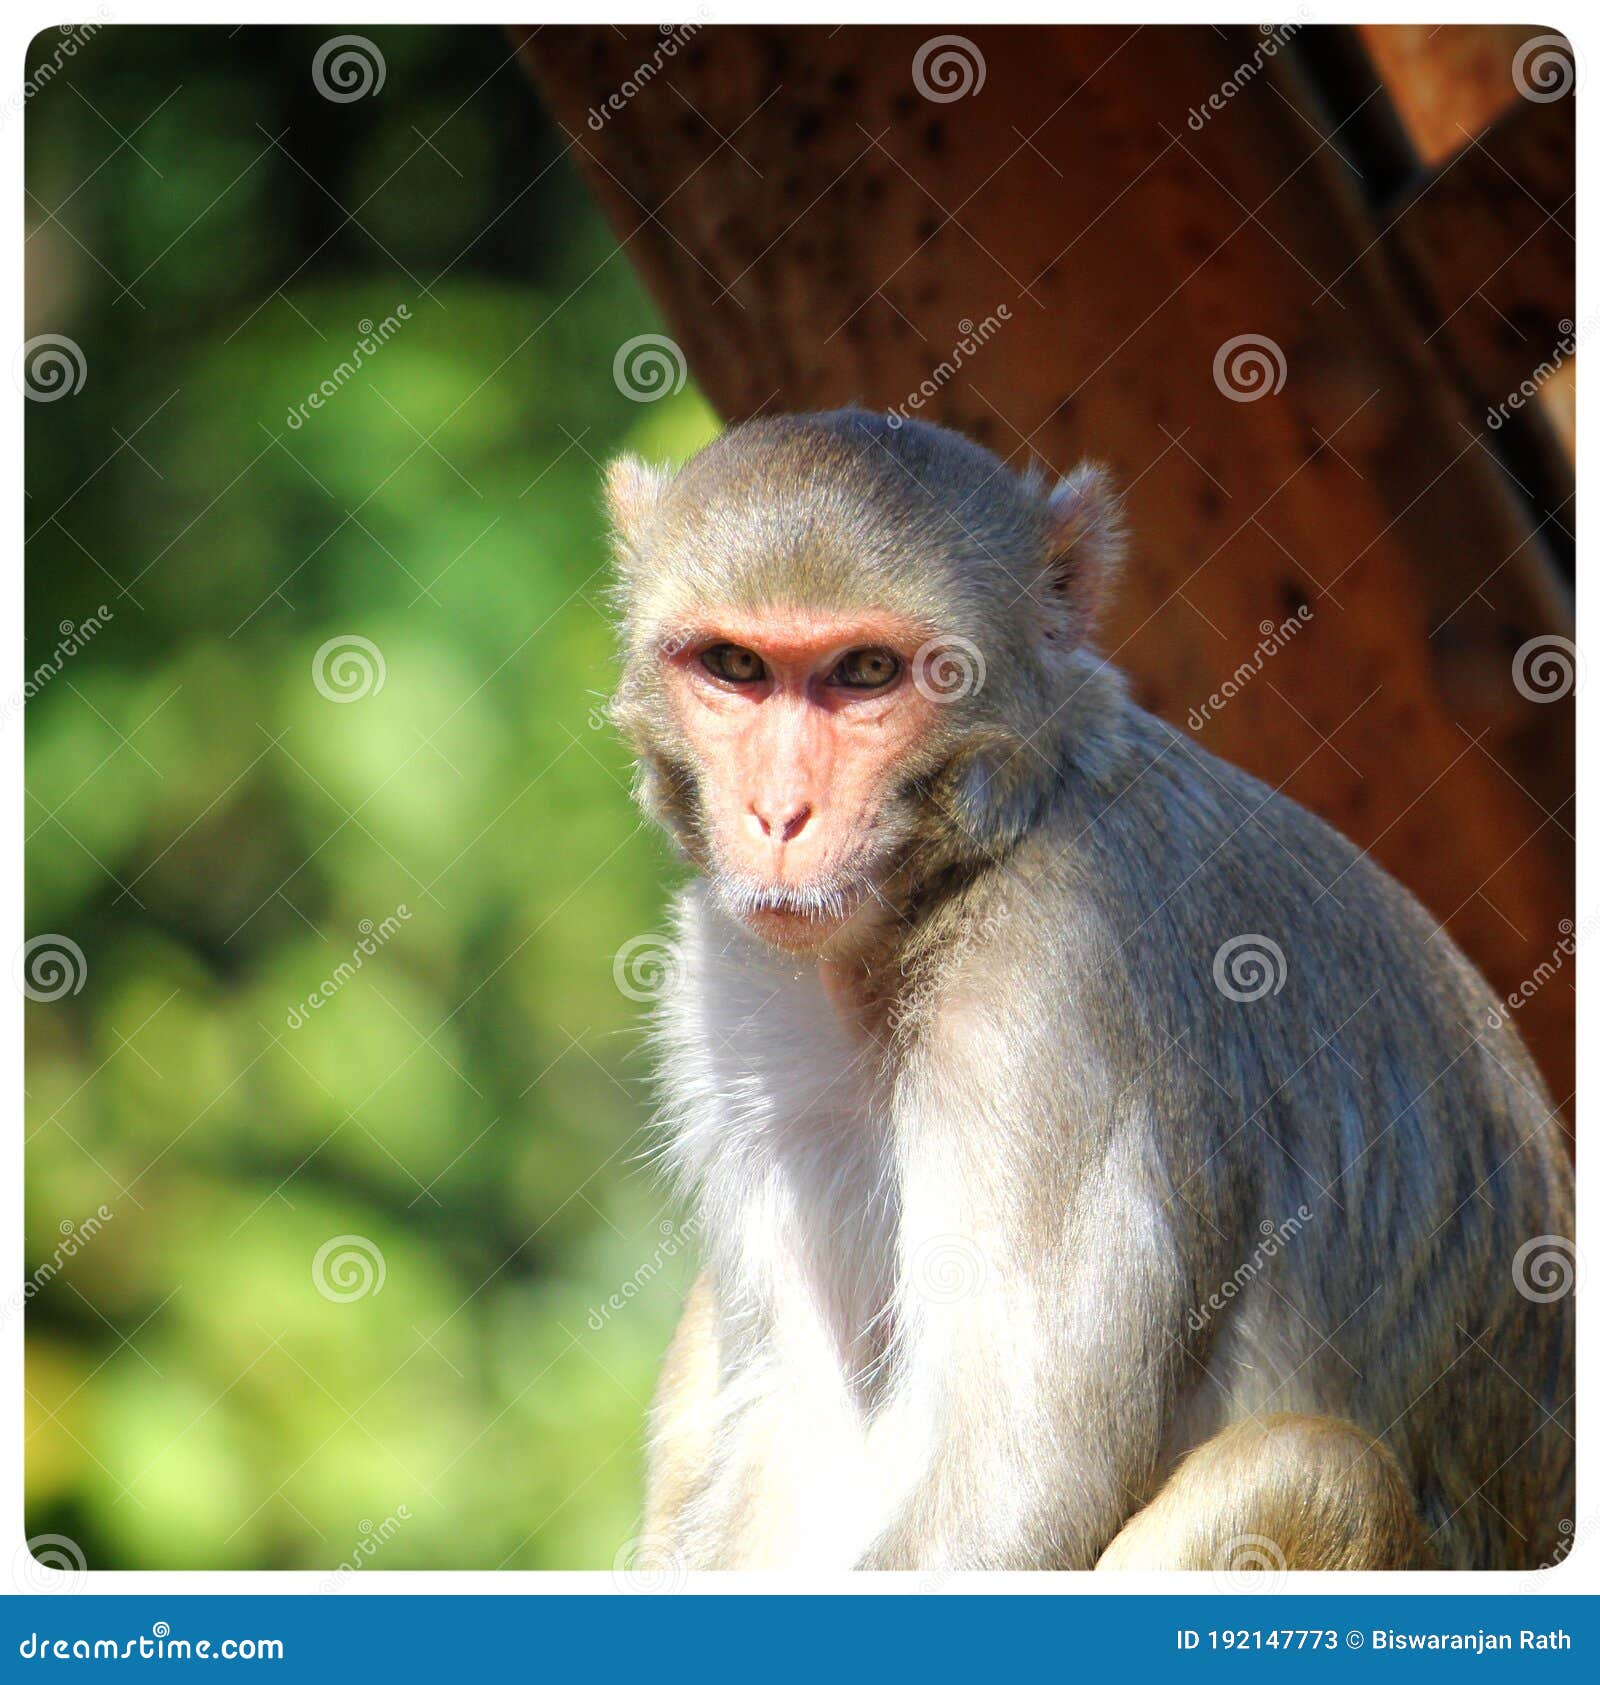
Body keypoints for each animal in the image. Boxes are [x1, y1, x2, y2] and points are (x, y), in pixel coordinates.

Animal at [603, 408, 1573, 1572]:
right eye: (736, 665)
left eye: (867, 671)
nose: (779, 814)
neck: (969, 862)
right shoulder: (743, 985)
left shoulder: (1055, 979)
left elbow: (1022, 1486)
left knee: (1306, 1469)